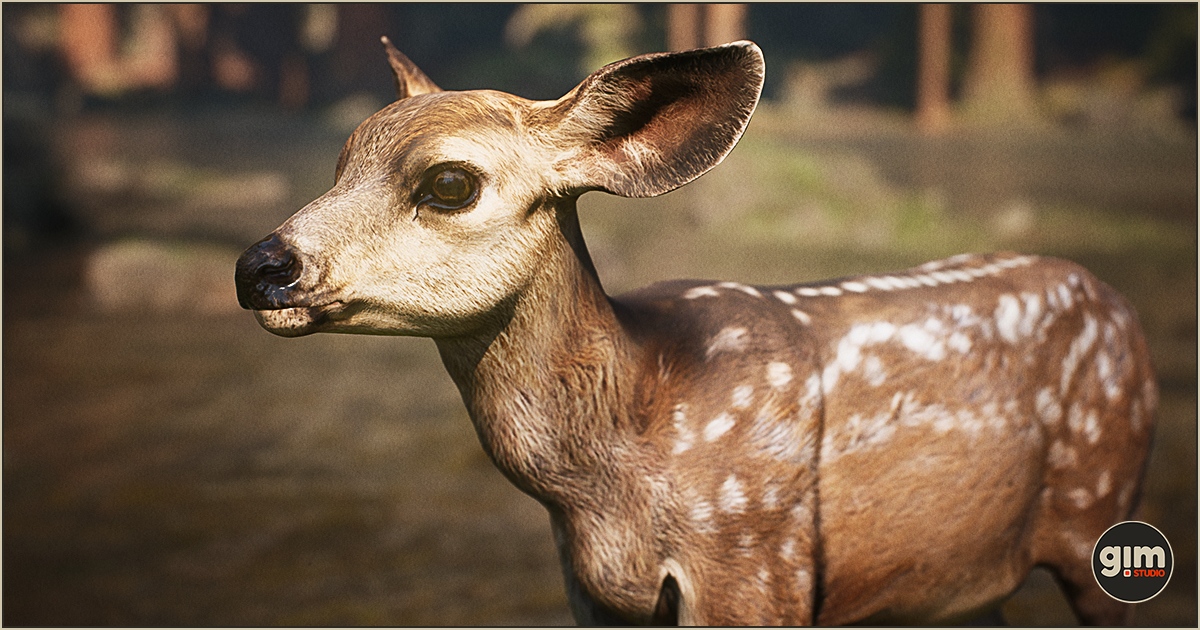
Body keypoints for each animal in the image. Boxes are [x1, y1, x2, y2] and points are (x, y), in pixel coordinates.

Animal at [234, 39, 1157, 625]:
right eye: (341, 161)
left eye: (450, 182)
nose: (258, 267)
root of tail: (1115, 299)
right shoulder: (595, 592)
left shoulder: (757, 564)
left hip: (1099, 503)